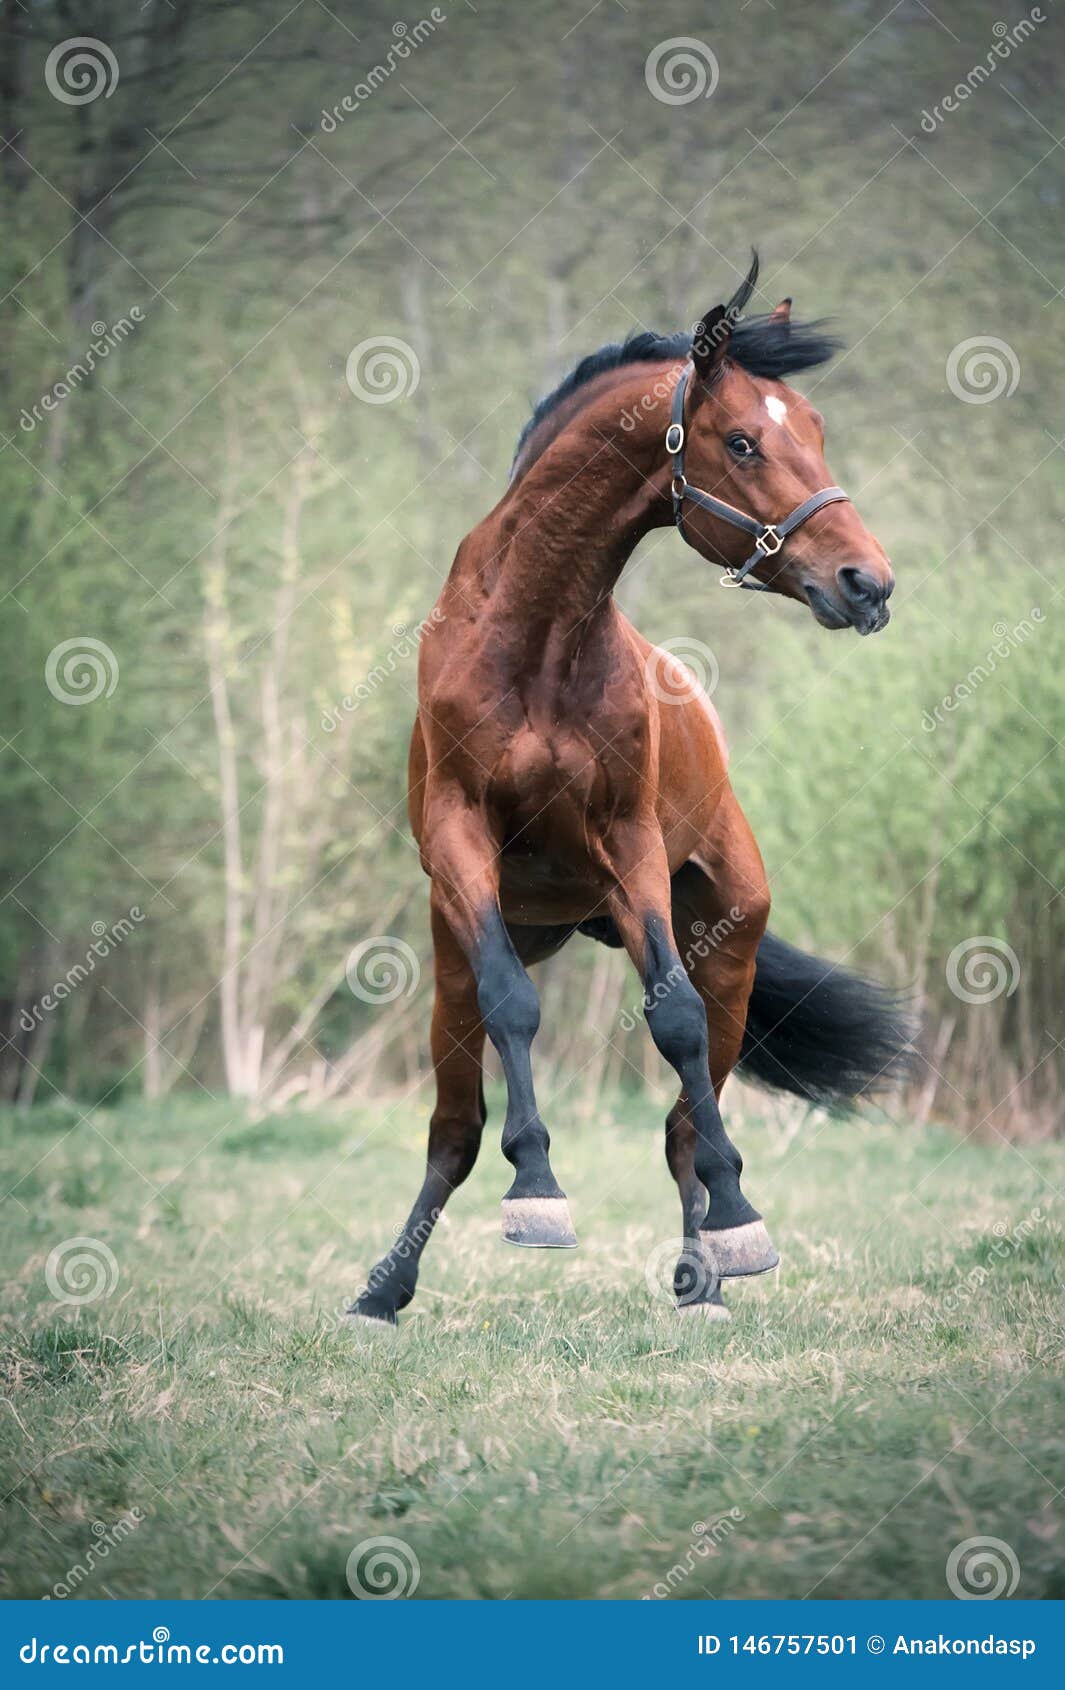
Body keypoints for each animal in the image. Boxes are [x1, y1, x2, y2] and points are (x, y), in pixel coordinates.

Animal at [351, 252, 912, 1328]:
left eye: (814, 428)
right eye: (742, 440)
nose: (868, 584)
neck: (531, 635)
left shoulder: (630, 849)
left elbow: (675, 1026)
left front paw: (740, 1227)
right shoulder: (460, 843)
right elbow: (514, 1009)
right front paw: (537, 1195)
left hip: (725, 950)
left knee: (688, 1115)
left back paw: (706, 1273)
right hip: (456, 961)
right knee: (455, 1126)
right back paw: (382, 1288)